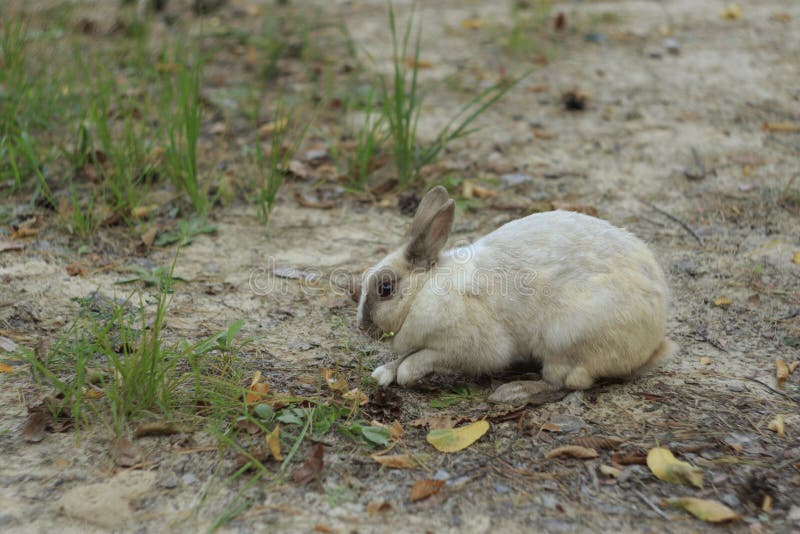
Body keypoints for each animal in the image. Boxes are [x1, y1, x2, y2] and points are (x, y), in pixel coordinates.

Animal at [357, 185, 676, 404]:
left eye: (385, 289)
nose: (362, 327)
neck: (424, 291)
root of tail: (651, 343)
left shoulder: (466, 347)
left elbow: (421, 358)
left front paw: (406, 373)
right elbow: (405, 355)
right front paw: (383, 372)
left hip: (565, 339)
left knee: (566, 383)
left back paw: (513, 392)